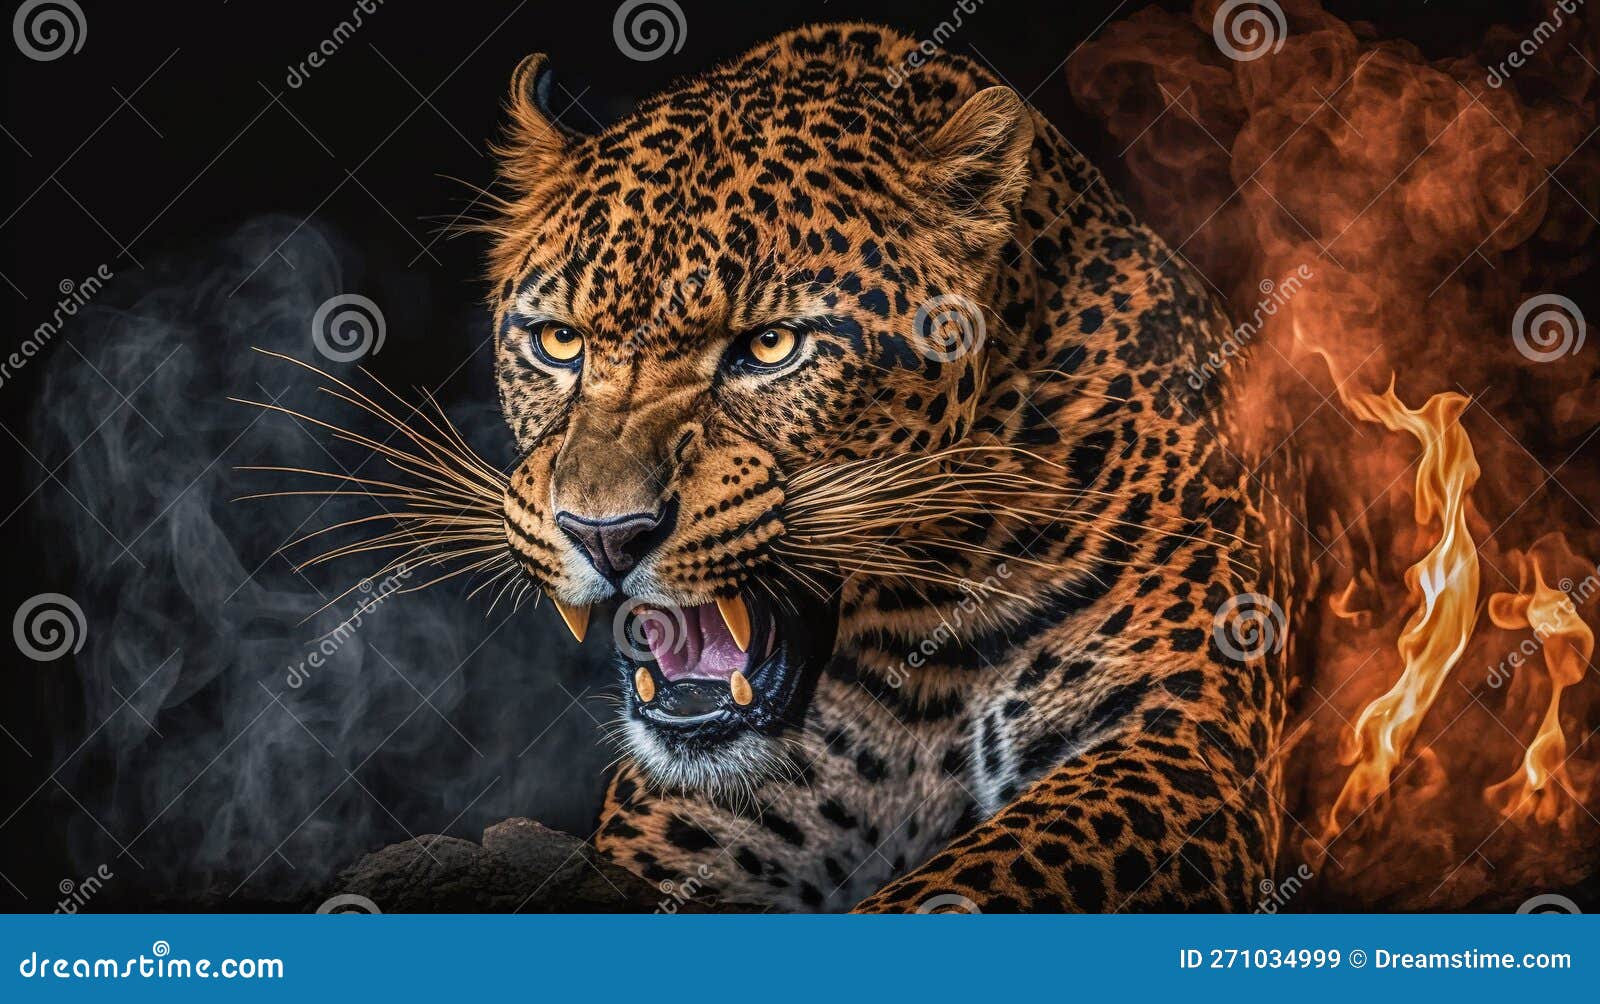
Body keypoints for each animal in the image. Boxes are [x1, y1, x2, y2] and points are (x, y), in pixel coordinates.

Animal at [488, 22, 1302, 912]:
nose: (605, 535)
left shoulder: (1177, 735)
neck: (923, 606)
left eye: (770, 346)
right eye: (559, 342)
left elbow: (978, 875)